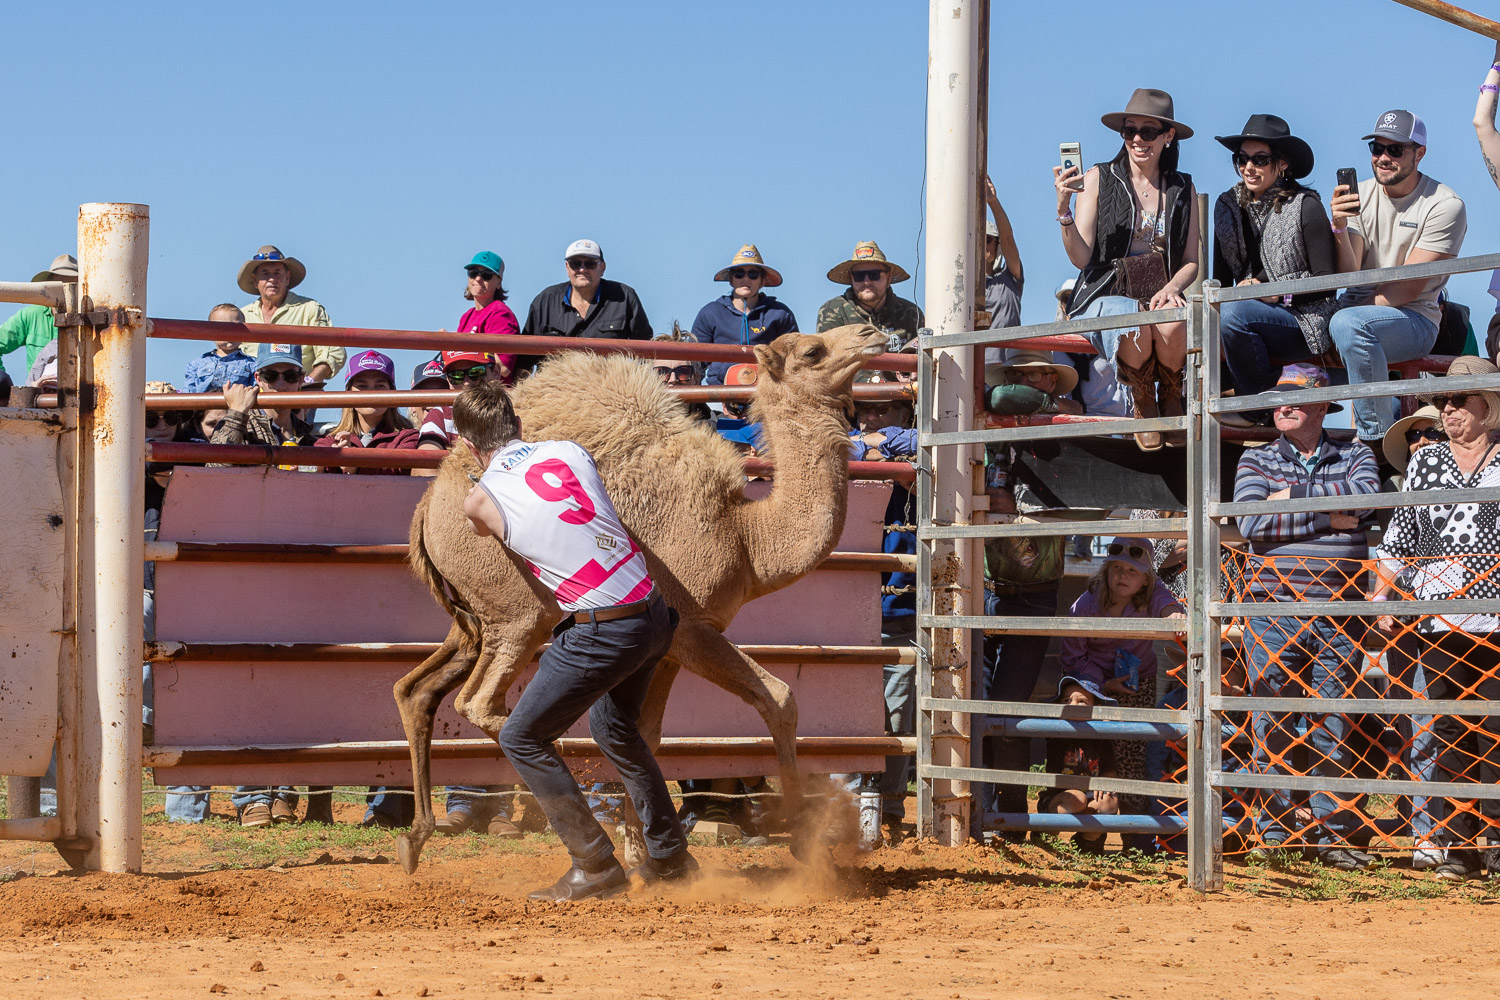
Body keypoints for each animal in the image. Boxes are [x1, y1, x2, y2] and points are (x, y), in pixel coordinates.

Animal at [393, 323, 890, 875]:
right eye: (812, 350)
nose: (871, 331)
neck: (746, 538)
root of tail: (427, 507)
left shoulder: (670, 648)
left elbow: (644, 735)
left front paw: (642, 856)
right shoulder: (692, 627)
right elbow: (778, 698)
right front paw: (803, 841)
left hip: (473, 621)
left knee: (416, 689)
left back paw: (416, 840)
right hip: (516, 614)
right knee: (478, 701)